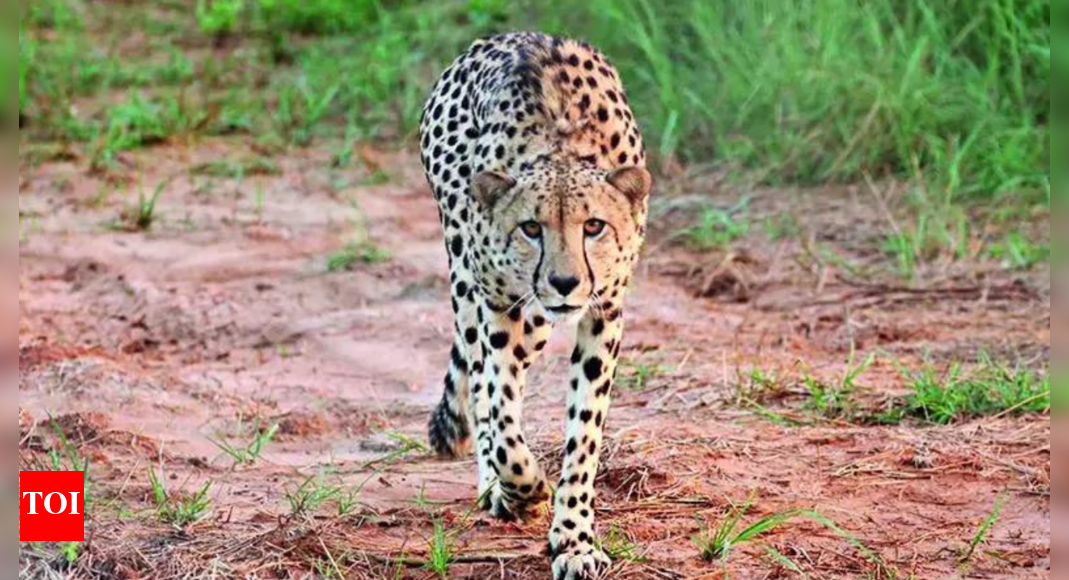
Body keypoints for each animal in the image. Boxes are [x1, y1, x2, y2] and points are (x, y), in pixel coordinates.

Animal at [419, 31, 650, 580]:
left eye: (594, 226)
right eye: (531, 228)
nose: (564, 282)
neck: (561, 149)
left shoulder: (604, 314)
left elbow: (584, 433)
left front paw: (575, 539)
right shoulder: (500, 307)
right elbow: (500, 409)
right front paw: (525, 490)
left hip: (538, 319)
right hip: (470, 281)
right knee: (480, 379)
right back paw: (494, 486)